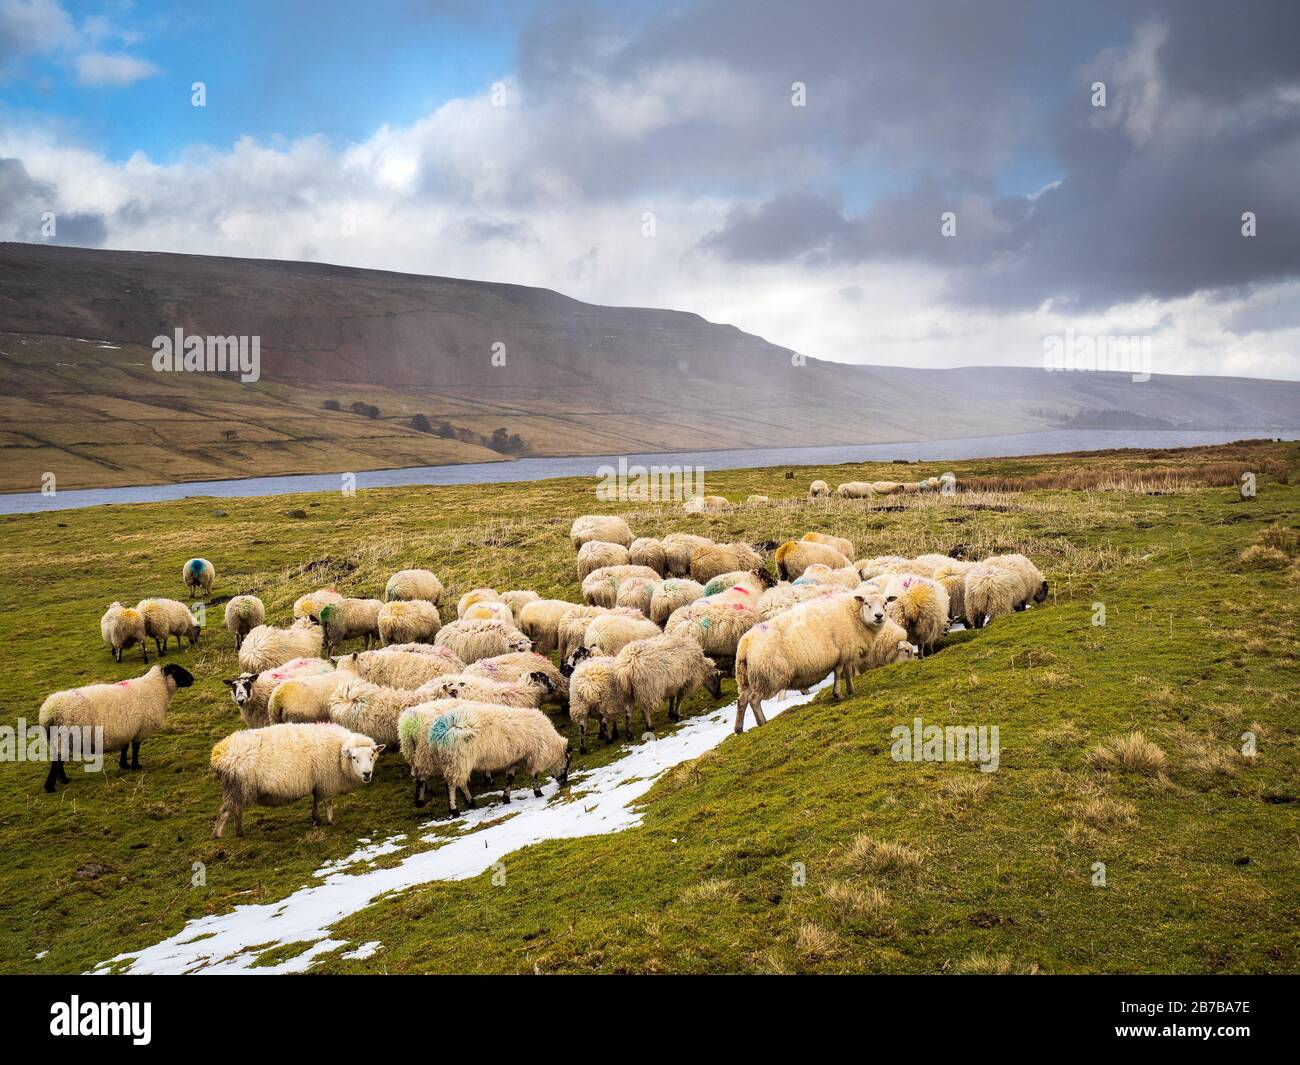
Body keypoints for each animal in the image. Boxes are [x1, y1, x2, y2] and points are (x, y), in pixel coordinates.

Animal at [40, 664, 193, 791]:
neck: (155, 688)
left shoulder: (127, 730)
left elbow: (125, 747)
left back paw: (63, 780)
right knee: (57, 762)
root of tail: (49, 712)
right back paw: (50, 787)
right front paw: (136, 766)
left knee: (58, 760)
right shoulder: (140, 731)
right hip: (66, 736)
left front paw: (124, 765)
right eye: (176, 670)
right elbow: (136, 749)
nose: (193, 678)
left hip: (57, 740)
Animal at [210, 723, 382, 837]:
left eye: (371, 756)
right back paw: (218, 835)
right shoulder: (326, 781)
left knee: (235, 810)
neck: (338, 752)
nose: (367, 774)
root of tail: (218, 754)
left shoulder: (318, 782)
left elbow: (316, 801)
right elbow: (327, 802)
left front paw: (316, 819)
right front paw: (331, 821)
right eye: (355, 758)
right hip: (238, 787)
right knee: (226, 811)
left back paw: (239, 831)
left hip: (237, 789)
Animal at [398, 700, 570, 812]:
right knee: (452, 784)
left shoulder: (513, 759)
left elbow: (509, 778)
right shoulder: (533, 756)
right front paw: (538, 793)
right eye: (568, 762)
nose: (564, 783)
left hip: (451, 760)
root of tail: (438, 729)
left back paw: (469, 802)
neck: (550, 743)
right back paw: (454, 809)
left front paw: (506, 798)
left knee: (457, 782)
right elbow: (533, 776)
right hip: (456, 758)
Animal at [733, 591, 898, 732]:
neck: (854, 614)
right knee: (754, 700)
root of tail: (744, 645)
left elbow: (847, 671)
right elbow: (839, 672)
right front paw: (838, 694)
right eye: (867, 603)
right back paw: (762, 722)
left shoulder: (846, 652)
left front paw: (851, 690)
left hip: (746, 678)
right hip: (768, 676)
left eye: (885, 603)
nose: (879, 616)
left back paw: (738, 729)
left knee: (742, 700)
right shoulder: (843, 651)